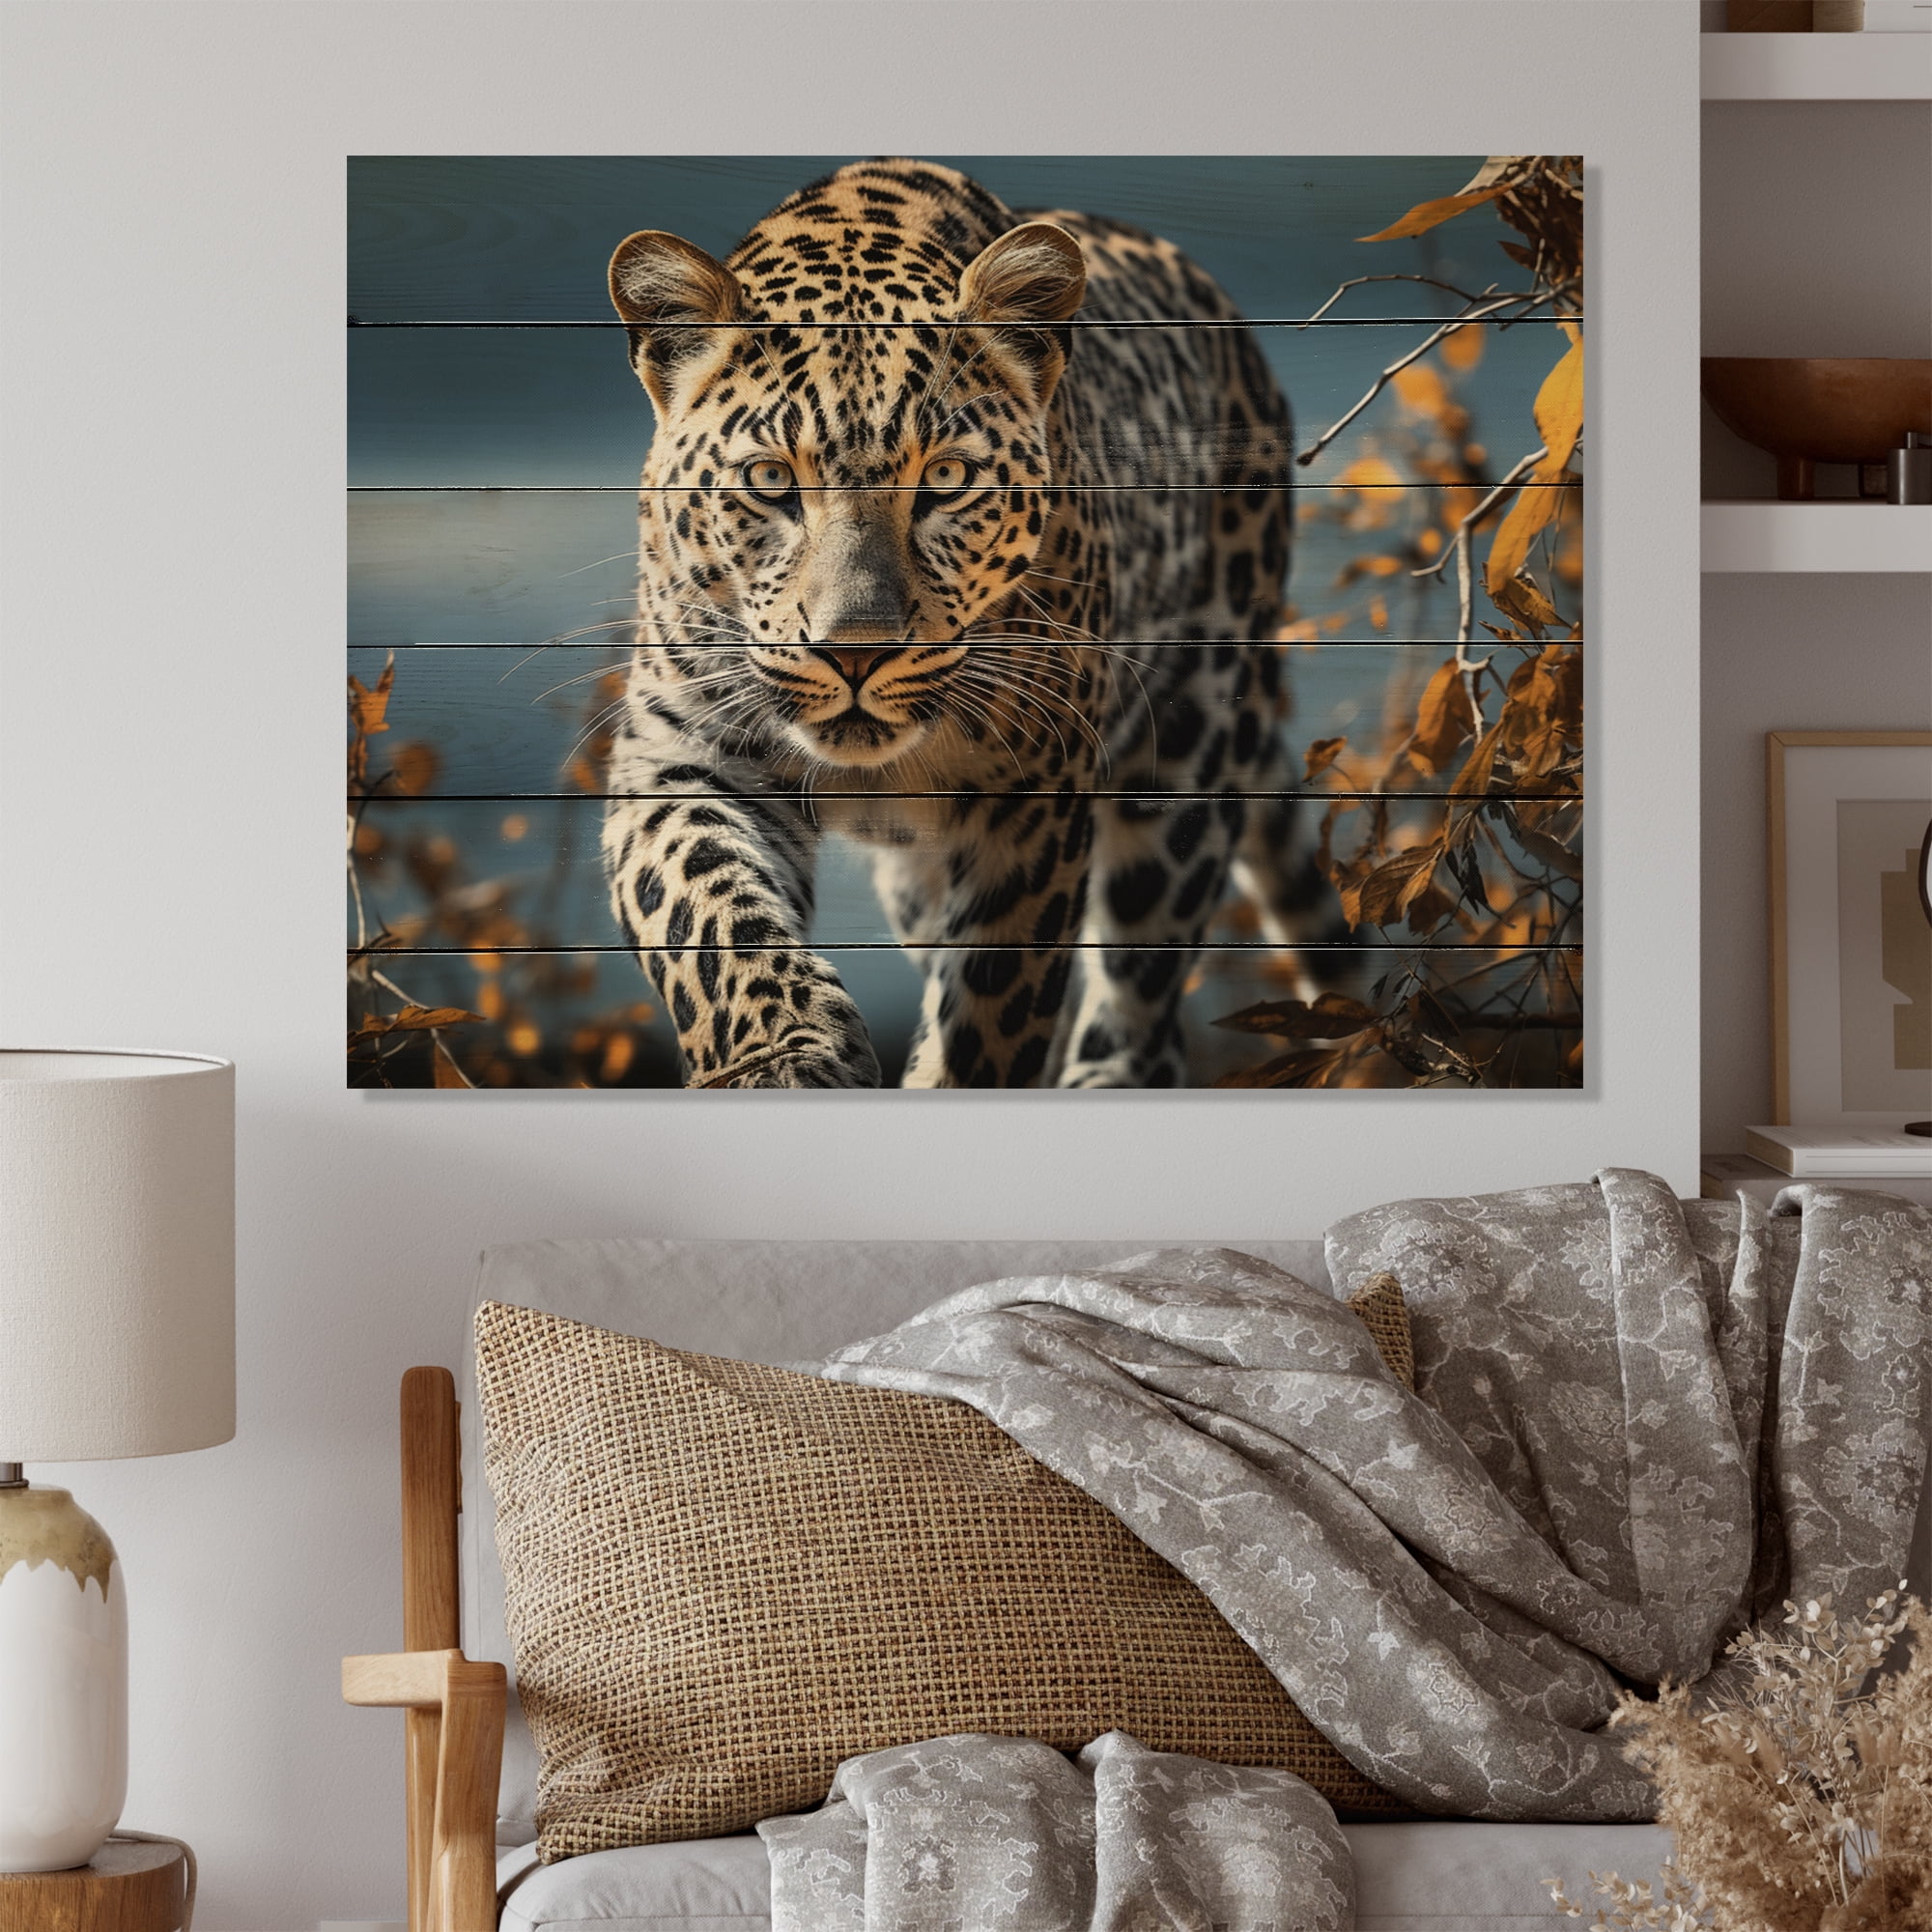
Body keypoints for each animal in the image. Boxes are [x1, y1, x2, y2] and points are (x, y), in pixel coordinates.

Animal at [600, 158, 1307, 1089]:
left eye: (945, 480)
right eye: (769, 479)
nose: (854, 653)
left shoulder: (1033, 793)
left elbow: (993, 1006)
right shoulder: (684, 751)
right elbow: (704, 907)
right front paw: (782, 1055)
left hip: (1188, 745)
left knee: (1140, 999)